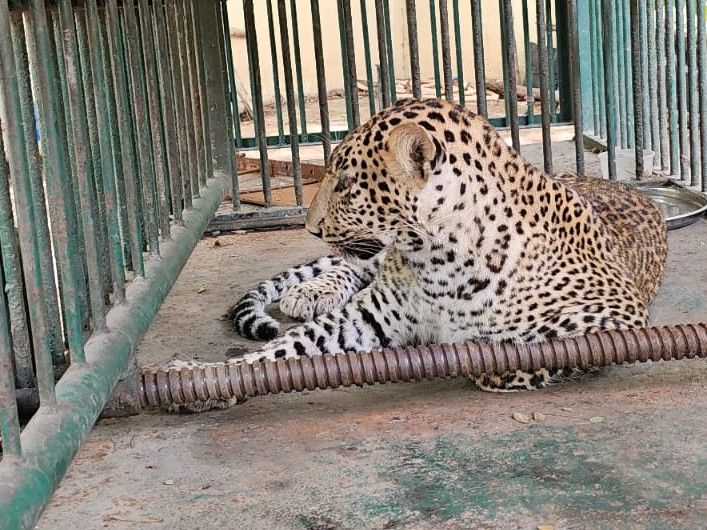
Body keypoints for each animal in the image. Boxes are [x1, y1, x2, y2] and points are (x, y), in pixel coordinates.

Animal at [184, 97, 668, 409]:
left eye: (346, 183)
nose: (310, 227)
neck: (439, 260)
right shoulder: (370, 315)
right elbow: (290, 346)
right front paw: (206, 378)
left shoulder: (619, 312)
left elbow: (544, 342)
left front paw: (495, 362)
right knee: (346, 267)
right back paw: (310, 292)